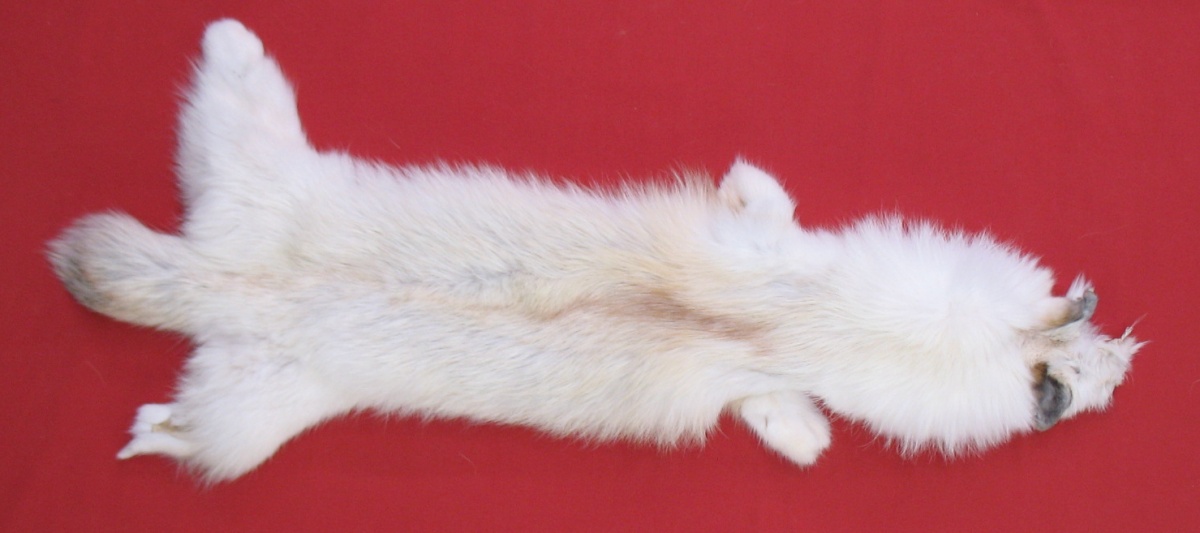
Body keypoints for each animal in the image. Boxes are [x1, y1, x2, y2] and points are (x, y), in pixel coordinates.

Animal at [48, 19, 1143, 483]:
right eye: (1090, 374)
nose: (1133, 358)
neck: (819, 319)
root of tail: (209, 285)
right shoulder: (764, 253)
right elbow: (764, 201)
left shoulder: (762, 374)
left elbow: (781, 414)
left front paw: (808, 441)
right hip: (263, 252)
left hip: (257, 387)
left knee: (190, 419)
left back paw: (148, 427)